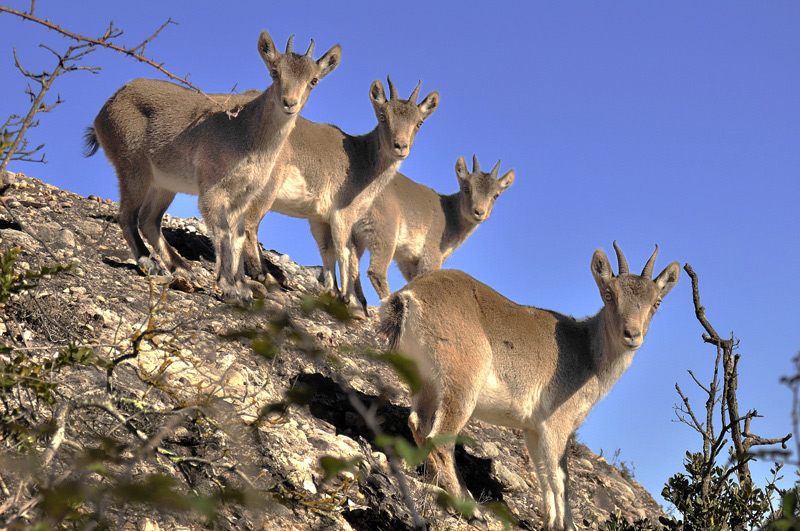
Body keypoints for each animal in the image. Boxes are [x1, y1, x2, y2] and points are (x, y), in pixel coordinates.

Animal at [85, 31, 341, 305]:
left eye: (313, 80)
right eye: (275, 71)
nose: (289, 103)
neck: (248, 132)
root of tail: (105, 110)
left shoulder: (243, 197)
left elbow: (237, 236)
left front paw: (241, 286)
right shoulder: (213, 189)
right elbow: (222, 232)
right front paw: (230, 287)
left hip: (163, 184)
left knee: (149, 220)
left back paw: (181, 268)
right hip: (133, 167)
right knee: (127, 215)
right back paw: (150, 263)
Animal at [241, 78, 438, 318]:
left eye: (419, 122)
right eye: (383, 116)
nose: (400, 146)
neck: (363, 162)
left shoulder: (319, 218)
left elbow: (327, 250)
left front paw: (332, 293)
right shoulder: (342, 213)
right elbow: (344, 251)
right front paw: (352, 304)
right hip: (265, 185)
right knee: (248, 223)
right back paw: (263, 276)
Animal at [350, 154, 514, 309]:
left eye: (496, 195)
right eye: (466, 189)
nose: (479, 212)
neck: (449, 215)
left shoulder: (408, 260)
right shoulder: (431, 251)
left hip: (353, 235)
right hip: (385, 232)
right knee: (376, 271)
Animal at [379, 243, 680, 530]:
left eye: (656, 302)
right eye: (609, 294)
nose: (632, 335)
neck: (586, 353)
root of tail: (407, 298)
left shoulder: (533, 428)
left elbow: (544, 472)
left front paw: (552, 523)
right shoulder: (558, 422)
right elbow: (561, 477)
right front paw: (567, 525)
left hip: (425, 380)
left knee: (419, 425)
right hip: (463, 381)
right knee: (440, 438)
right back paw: (472, 510)